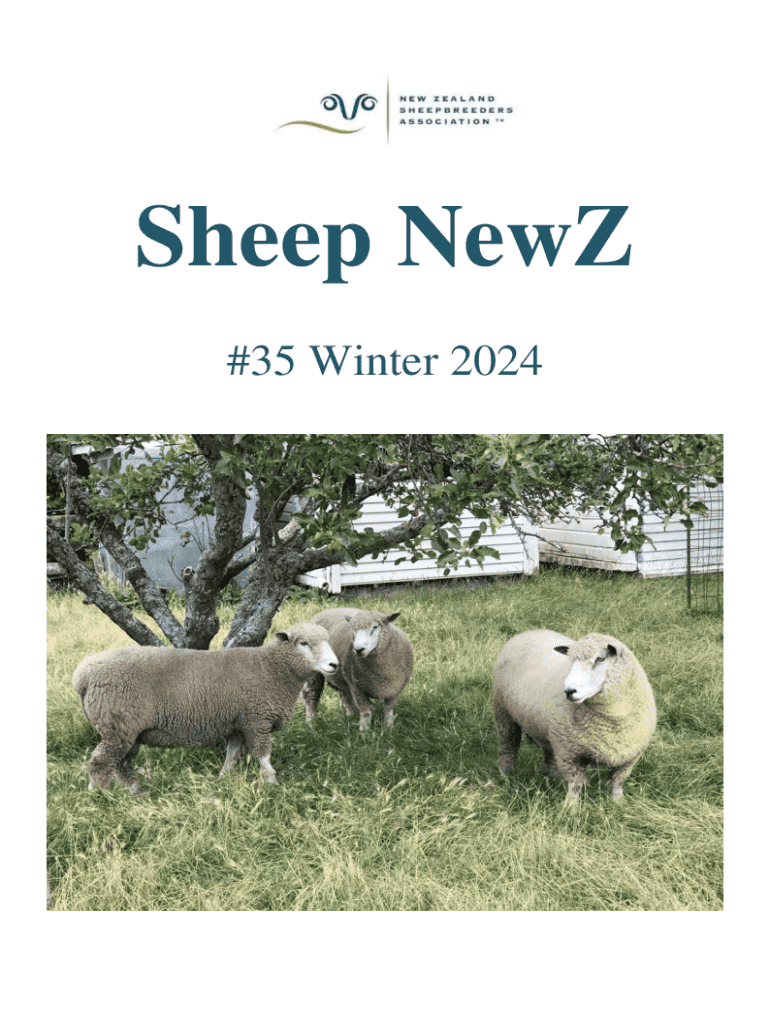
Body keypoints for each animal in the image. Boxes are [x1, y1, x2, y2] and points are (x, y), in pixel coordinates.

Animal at [72, 622, 338, 793]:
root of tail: (83, 676)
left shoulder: (238, 725)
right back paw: (100, 799)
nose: (334, 664)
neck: (273, 669)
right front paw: (272, 784)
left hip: (128, 731)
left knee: (122, 764)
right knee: (100, 764)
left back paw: (135, 794)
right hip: (118, 726)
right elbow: (262, 755)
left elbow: (232, 755)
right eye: (303, 643)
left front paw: (224, 780)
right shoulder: (257, 720)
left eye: (327, 640)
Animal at [492, 629, 656, 804]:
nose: (569, 691)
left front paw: (618, 803)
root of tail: (530, 631)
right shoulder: (568, 754)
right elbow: (576, 785)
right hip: (504, 714)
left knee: (549, 756)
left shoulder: (630, 757)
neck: (613, 721)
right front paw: (570, 807)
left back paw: (551, 782)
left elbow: (617, 783)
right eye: (570, 662)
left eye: (600, 658)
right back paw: (505, 778)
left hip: (550, 732)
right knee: (508, 749)